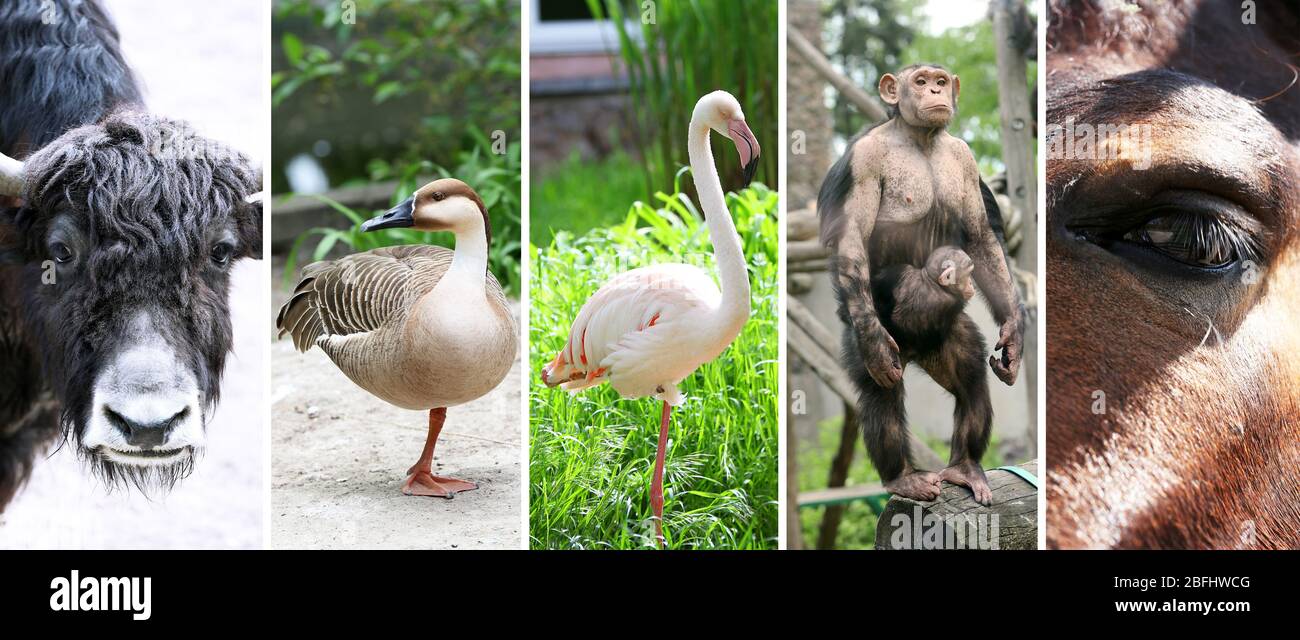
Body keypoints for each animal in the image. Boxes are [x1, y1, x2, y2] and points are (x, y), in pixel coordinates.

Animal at [818, 63, 1025, 506]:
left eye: (941, 81)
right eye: (920, 80)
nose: (933, 91)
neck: (920, 139)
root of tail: (915, 353)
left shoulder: (965, 159)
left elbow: (981, 233)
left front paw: (1014, 337)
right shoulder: (863, 159)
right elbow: (853, 239)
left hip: (948, 344)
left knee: (970, 382)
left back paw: (965, 466)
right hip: (872, 343)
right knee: (881, 395)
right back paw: (902, 477)